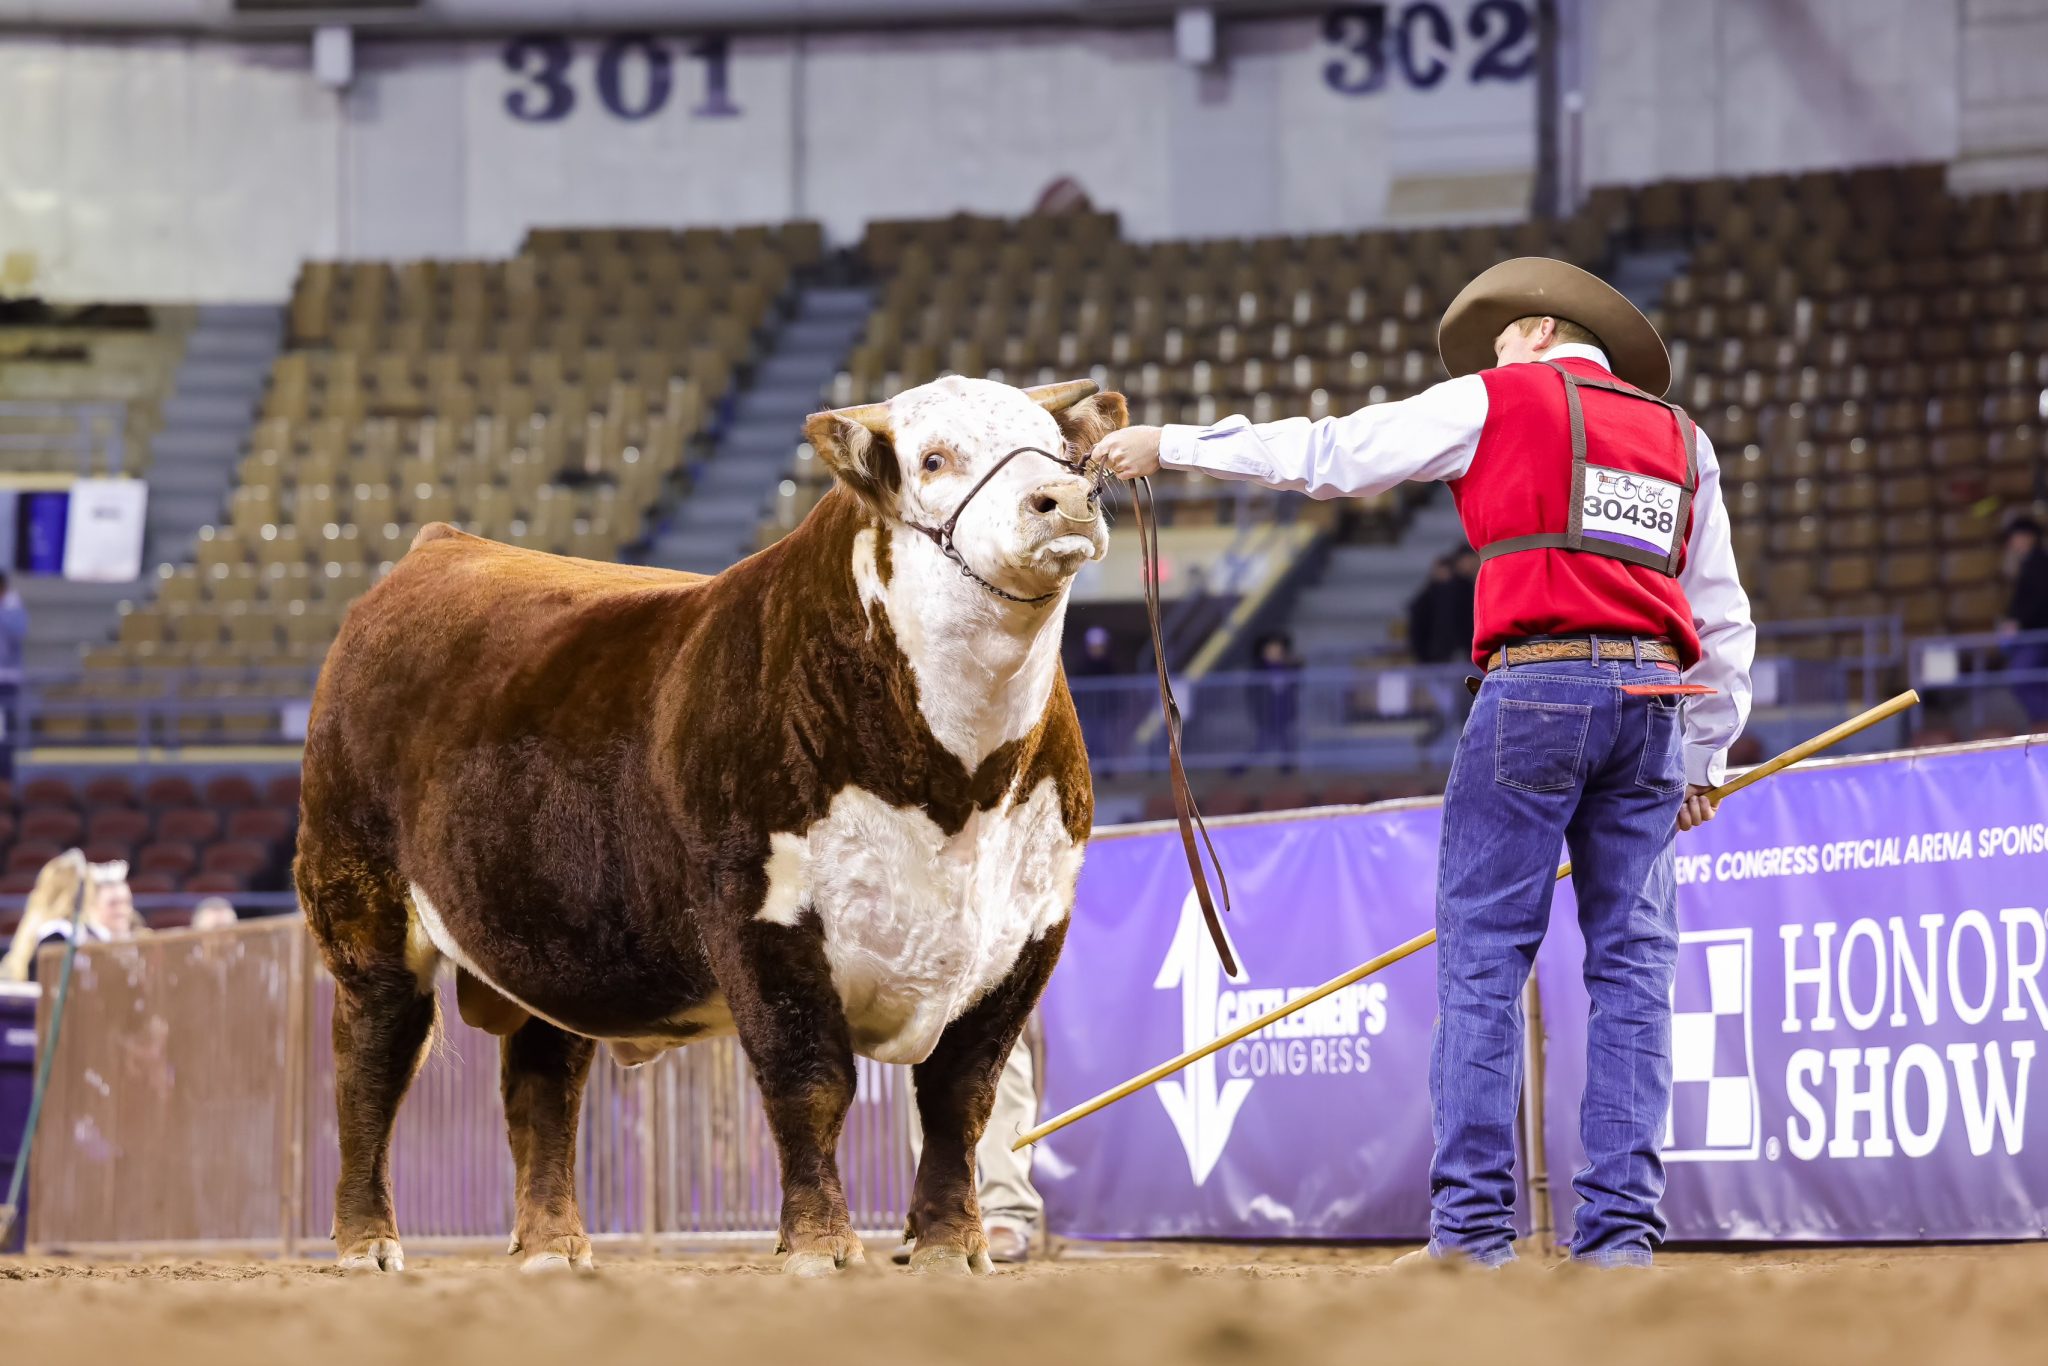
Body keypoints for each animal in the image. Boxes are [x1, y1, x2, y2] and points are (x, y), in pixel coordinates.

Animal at [295, 376, 1127, 1277]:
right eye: (935, 458)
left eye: (1064, 449)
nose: (1065, 499)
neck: (956, 786)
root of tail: (440, 544)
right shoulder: (757, 915)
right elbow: (811, 1081)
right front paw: (822, 1246)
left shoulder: (1031, 930)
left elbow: (960, 1097)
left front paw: (951, 1245)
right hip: (360, 899)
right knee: (369, 1062)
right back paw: (367, 1241)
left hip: (557, 936)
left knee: (542, 1085)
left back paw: (555, 1245)